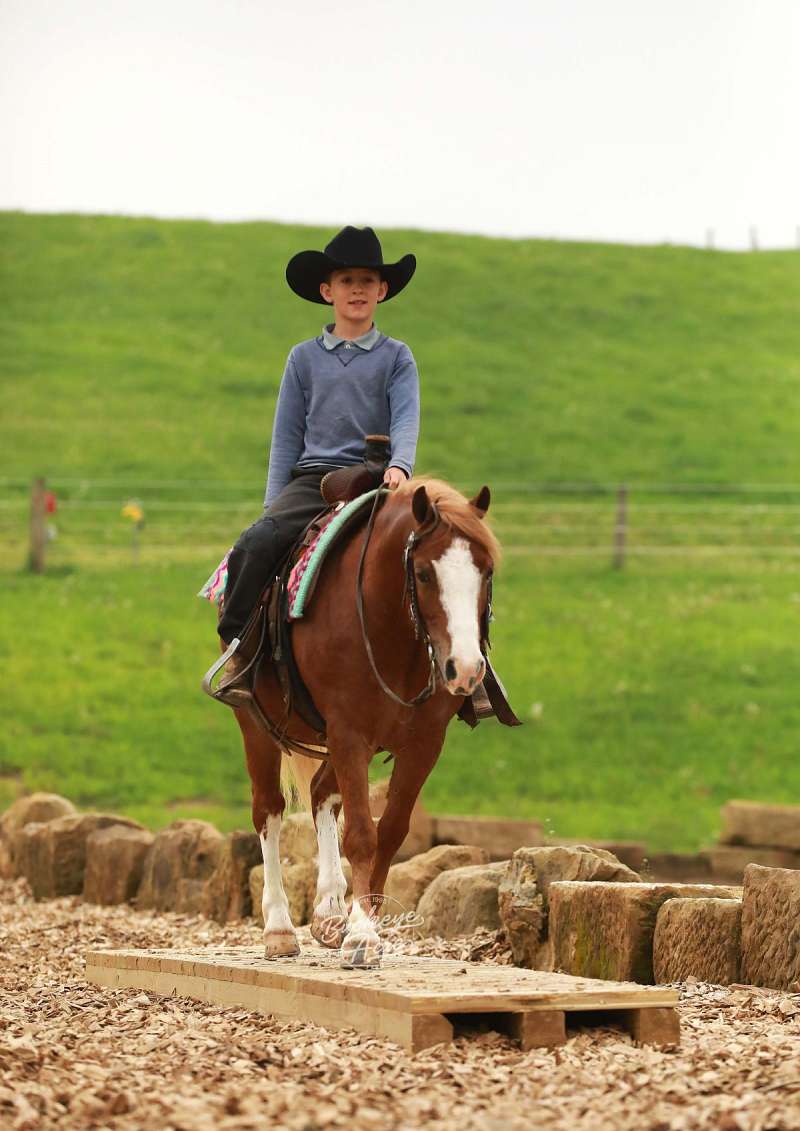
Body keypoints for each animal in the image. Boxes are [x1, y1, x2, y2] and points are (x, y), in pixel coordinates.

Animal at [229, 475, 502, 968]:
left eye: (486, 572)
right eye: (424, 573)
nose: (466, 668)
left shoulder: (423, 744)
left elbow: (389, 833)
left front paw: (363, 924)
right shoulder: (349, 732)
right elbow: (360, 835)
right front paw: (360, 937)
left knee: (321, 794)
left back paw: (328, 912)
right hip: (256, 726)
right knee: (269, 811)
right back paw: (279, 928)